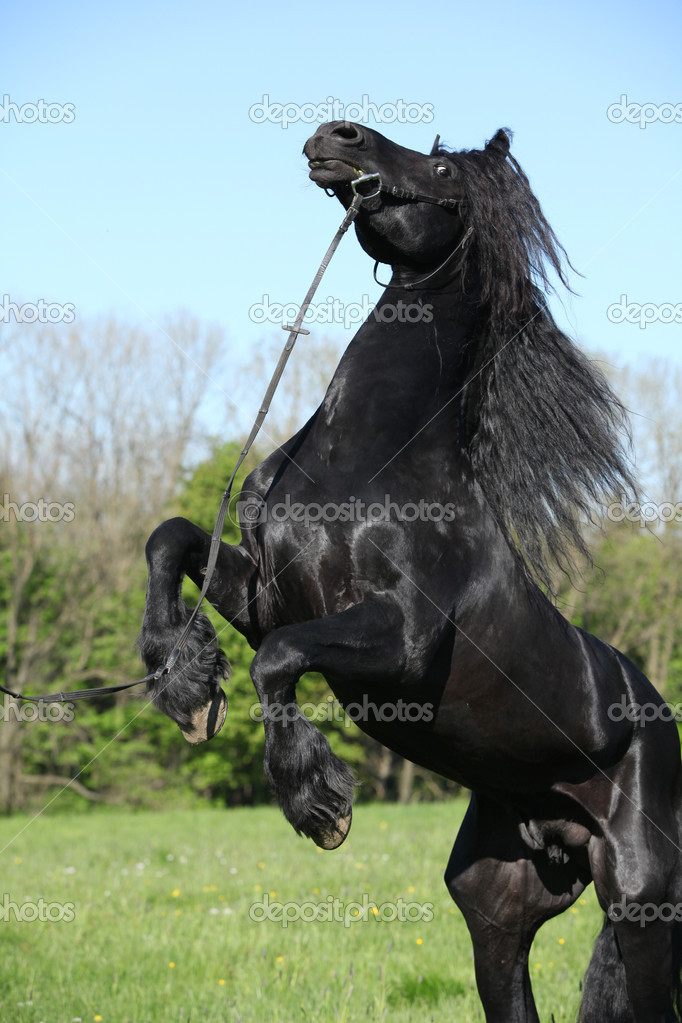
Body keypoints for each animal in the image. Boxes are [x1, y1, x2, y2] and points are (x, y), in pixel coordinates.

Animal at [139, 121, 682, 1022]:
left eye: (440, 172)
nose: (337, 136)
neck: (372, 455)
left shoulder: (400, 640)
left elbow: (278, 657)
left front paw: (317, 800)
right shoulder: (268, 591)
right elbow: (172, 541)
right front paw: (181, 681)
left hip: (640, 899)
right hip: (499, 907)